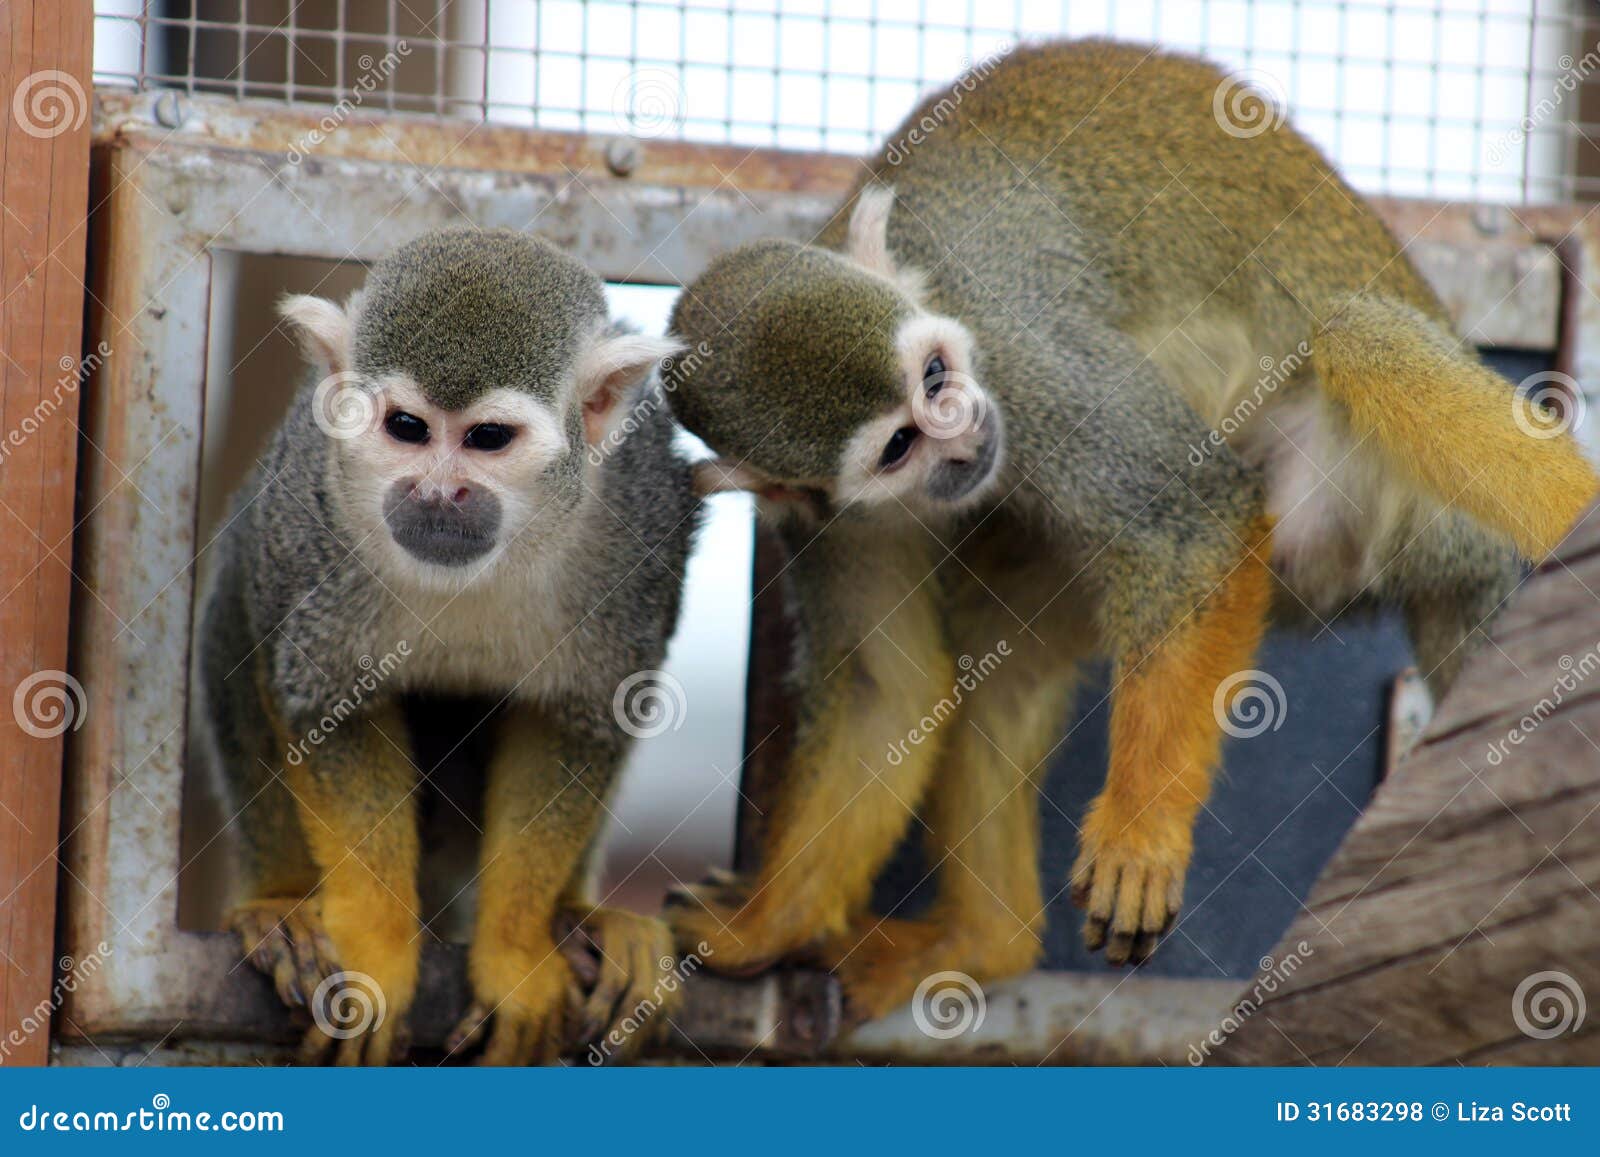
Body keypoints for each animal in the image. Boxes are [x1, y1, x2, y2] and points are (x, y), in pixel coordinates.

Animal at [196, 226, 698, 1064]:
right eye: (407, 429)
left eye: (488, 439)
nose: (437, 492)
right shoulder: (312, 503)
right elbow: (325, 702)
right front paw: (373, 945)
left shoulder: (643, 514)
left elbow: (578, 717)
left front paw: (516, 954)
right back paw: (280, 907)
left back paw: (583, 922)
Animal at [658, 38, 1599, 1025]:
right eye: (900, 444)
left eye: (937, 375)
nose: (966, 432)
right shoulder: (828, 516)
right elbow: (889, 687)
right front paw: (757, 930)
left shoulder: (1019, 353)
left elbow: (1191, 519)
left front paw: (1140, 839)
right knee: (1000, 649)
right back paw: (986, 942)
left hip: (1404, 516)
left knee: (1360, 334)